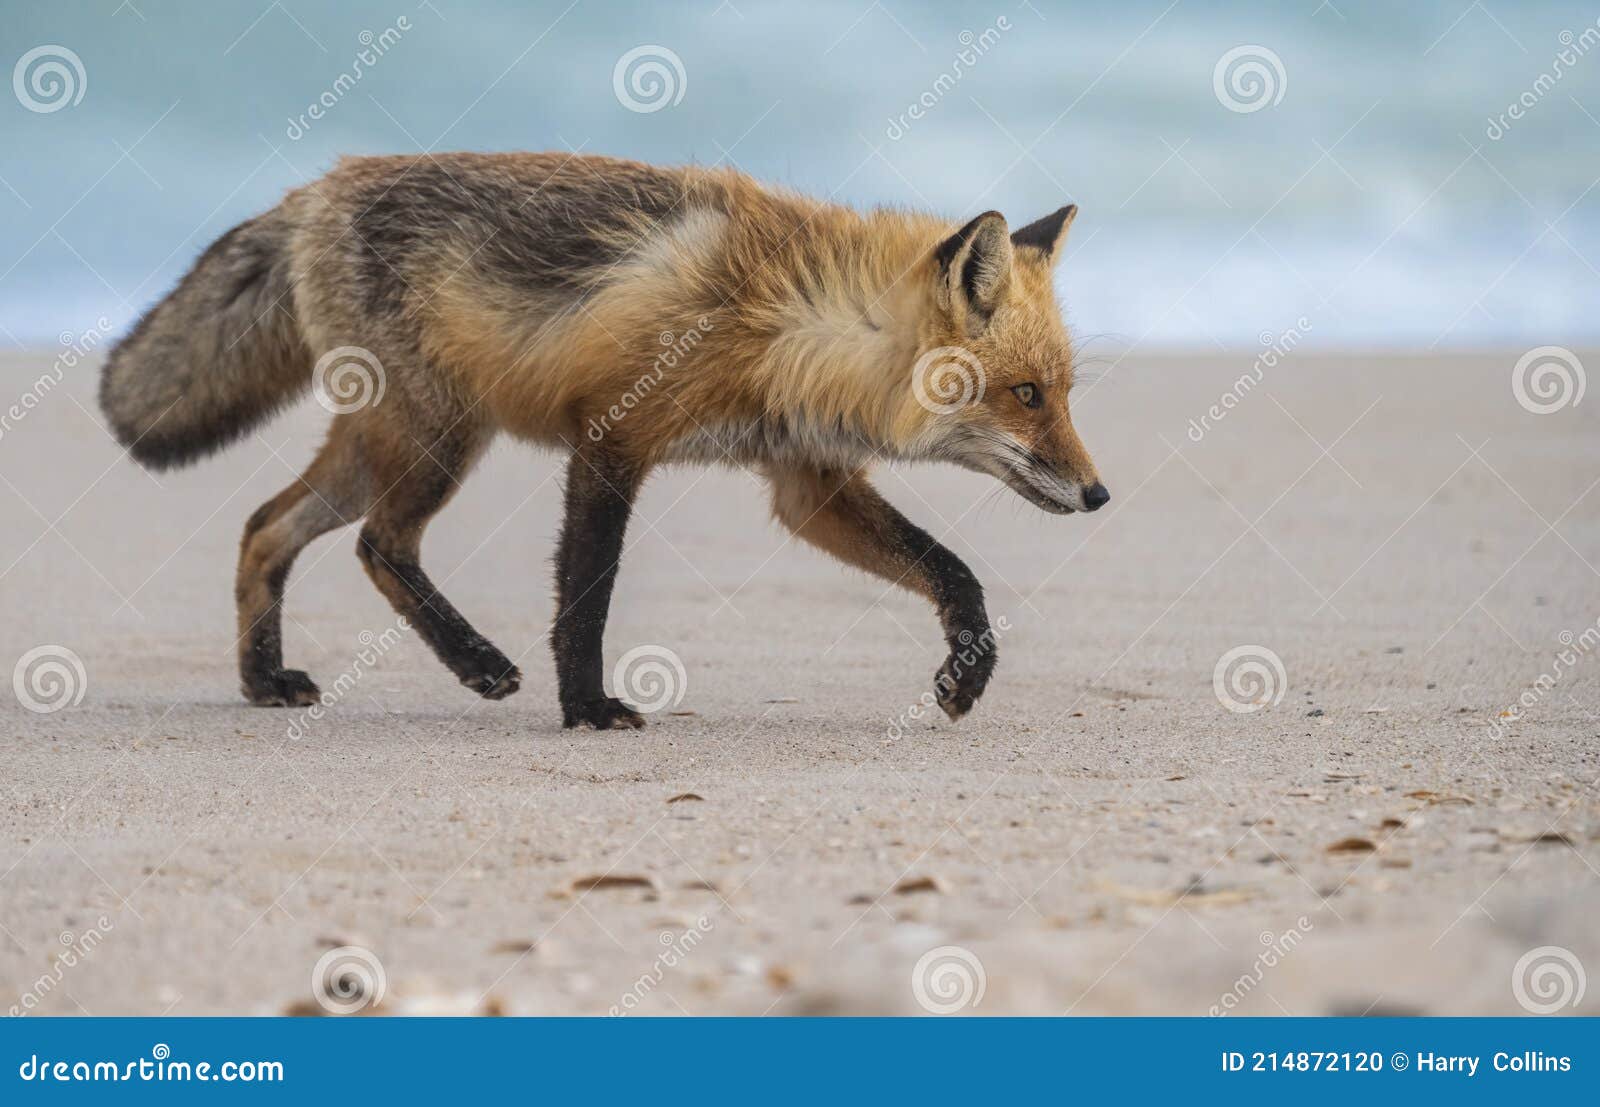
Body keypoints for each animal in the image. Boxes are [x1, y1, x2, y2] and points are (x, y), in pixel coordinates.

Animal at [99, 153, 1108, 730]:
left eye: (1061, 393)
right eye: (1025, 395)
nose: (1101, 495)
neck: (795, 318)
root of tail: (313, 189)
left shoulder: (806, 483)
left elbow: (952, 570)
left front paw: (968, 674)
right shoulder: (613, 438)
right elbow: (586, 596)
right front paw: (584, 707)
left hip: (388, 443)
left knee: (266, 528)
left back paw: (263, 681)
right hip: (436, 437)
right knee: (379, 546)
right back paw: (476, 663)